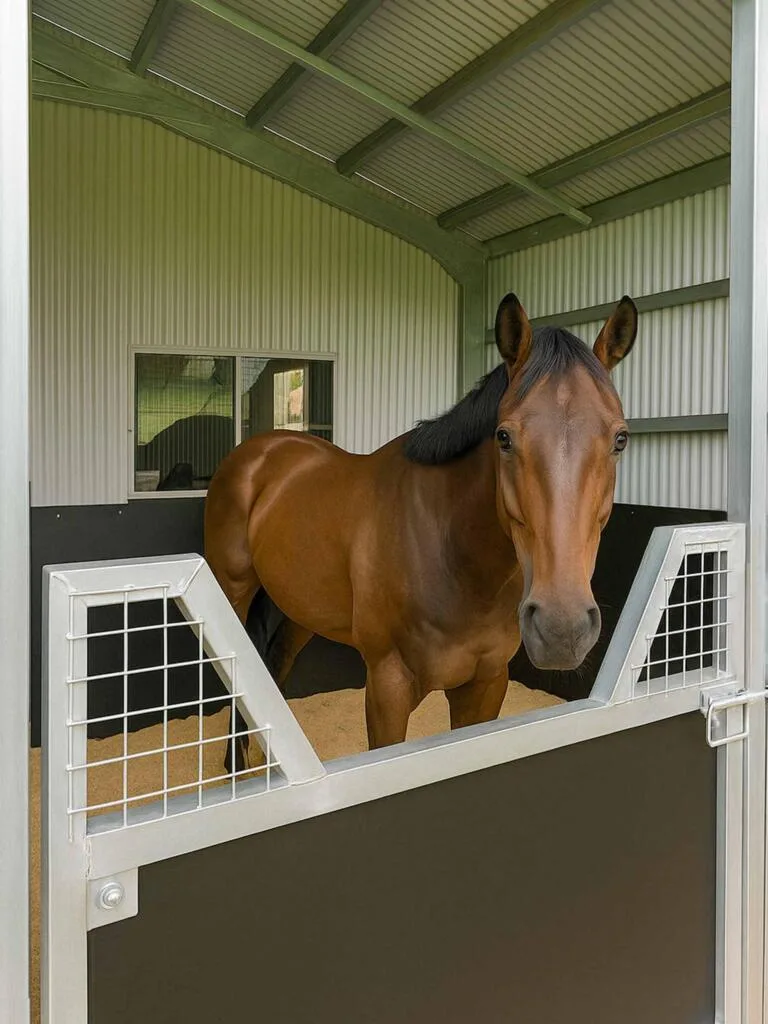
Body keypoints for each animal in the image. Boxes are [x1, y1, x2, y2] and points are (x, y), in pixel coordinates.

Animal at [204, 292, 638, 771]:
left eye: (620, 439)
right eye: (504, 436)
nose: (563, 629)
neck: (452, 557)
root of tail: (258, 450)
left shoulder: (486, 685)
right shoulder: (388, 688)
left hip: (299, 608)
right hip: (233, 592)